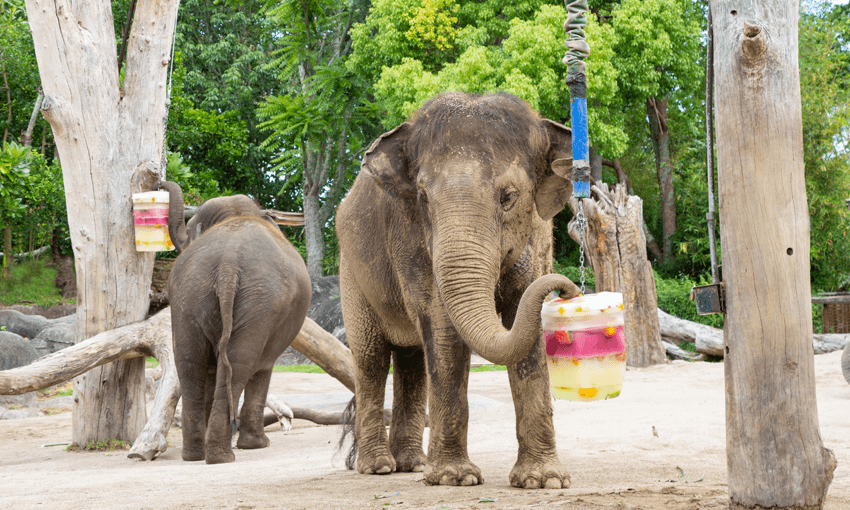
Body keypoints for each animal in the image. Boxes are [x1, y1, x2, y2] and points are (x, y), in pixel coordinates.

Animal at [160, 181, 311, 464]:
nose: (159, 182)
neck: (236, 213)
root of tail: (228, 266)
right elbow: (263, 369)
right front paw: (259, 445)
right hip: (261, 304)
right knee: (240, 363)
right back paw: (223, 455)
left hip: (191, 294)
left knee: (190, 362)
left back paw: (195, 454)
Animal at [336, 92, 581, 488]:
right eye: (422, 197)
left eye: (508, 197)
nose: (567, 288)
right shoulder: (409, 242)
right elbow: (444, 331)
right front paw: (455, 478)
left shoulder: (539, 234)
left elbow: (524, 324)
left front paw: (543, 481)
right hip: (351, 275)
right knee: (371, 358)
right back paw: (379, 467)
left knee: (412, 361)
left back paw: (412, 464)